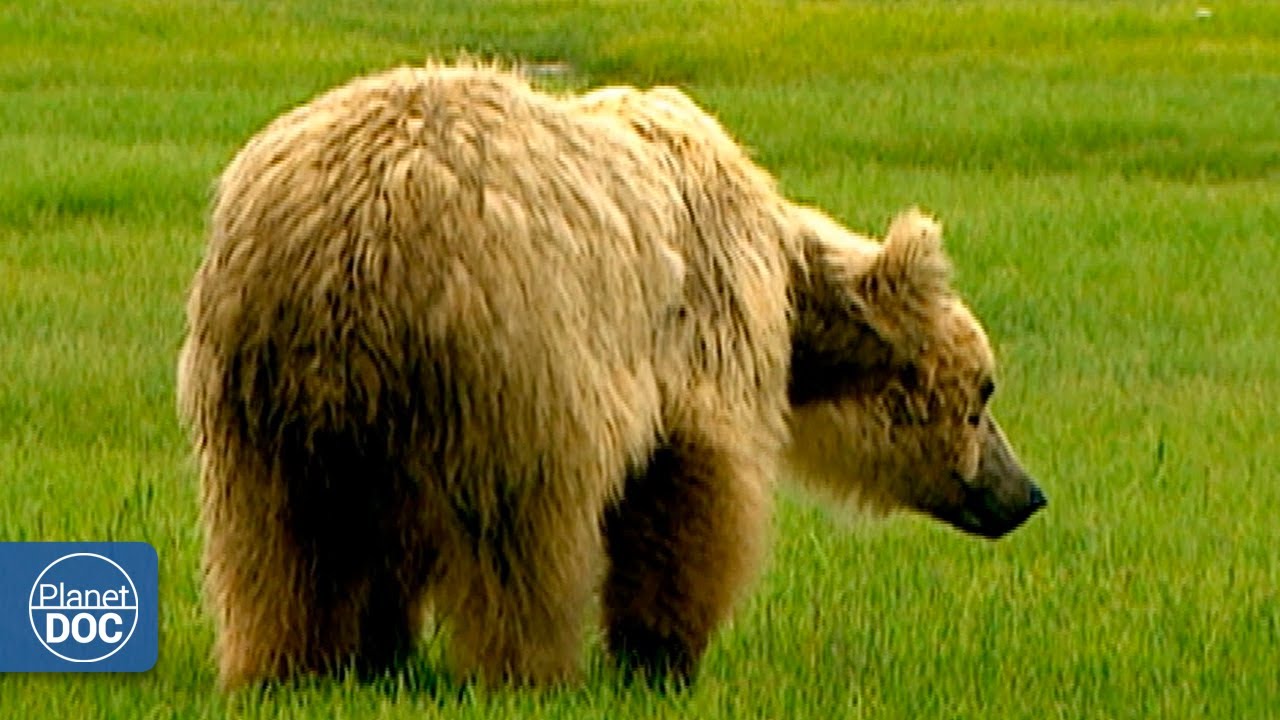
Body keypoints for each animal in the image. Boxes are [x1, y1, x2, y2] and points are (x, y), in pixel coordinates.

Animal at [177, 61, 1044, 691]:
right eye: (984, 393)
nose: (1025, 493)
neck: (790, 282)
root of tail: (345, 241)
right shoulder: (696, 337)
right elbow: (689, 496)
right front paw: (662, 655)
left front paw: (380, 649)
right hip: (509, 367)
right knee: (519, 537)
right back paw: (526, 669)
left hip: (262, 394)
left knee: (277, 540)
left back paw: (288, 662)